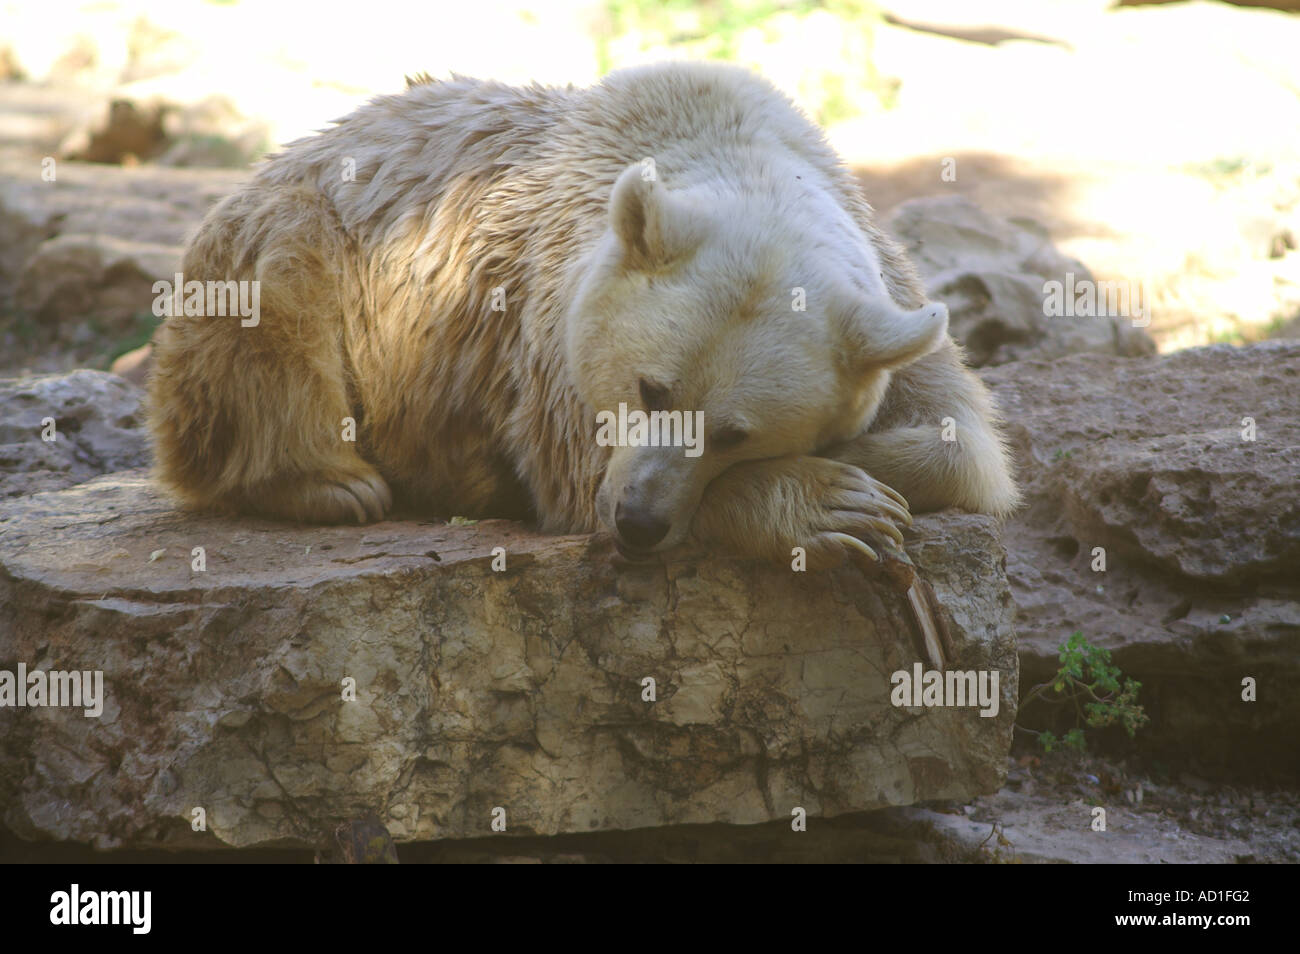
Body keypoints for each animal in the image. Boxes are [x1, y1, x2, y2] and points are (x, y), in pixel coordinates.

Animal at [147, 61, 1019, 571]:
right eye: (650, 389)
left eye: (736, 433)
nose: (638, 520)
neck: (732, 144)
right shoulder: (551, 311)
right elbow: (572, 467)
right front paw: (833, 504)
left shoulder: (886, 278)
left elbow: (965, 442)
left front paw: (862, 466)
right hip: (289, 234)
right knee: (275, 303)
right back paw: (332, 483)